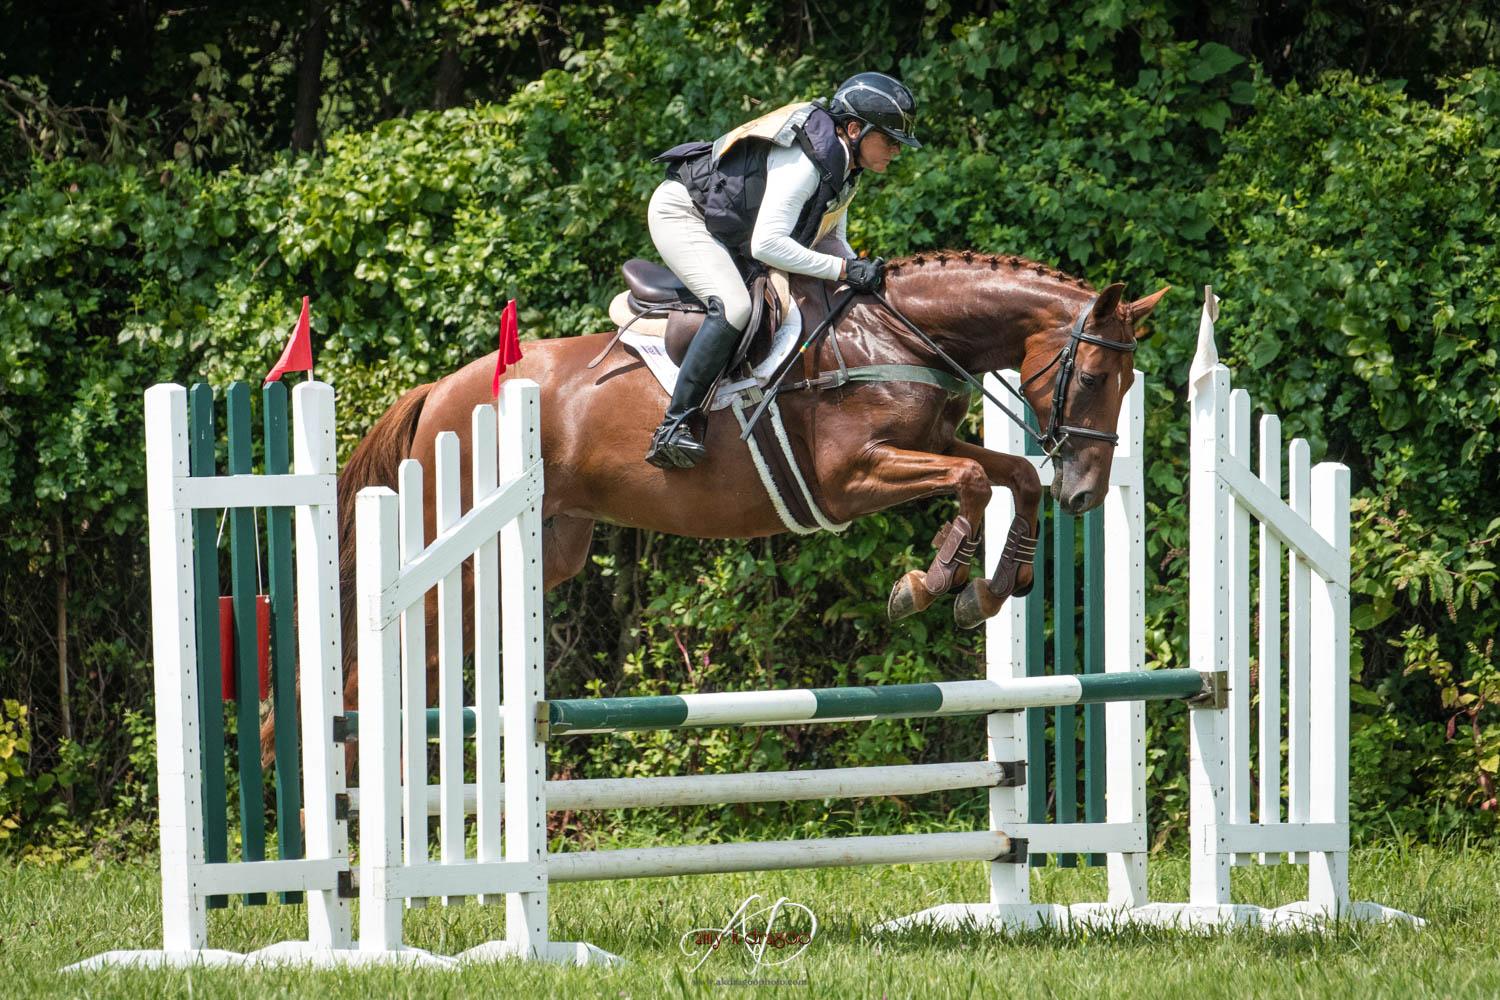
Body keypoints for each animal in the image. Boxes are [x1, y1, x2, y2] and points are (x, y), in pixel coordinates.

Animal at [264, 251, 1164, 758]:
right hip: (449, 545)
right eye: (1091, 376)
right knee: (363, 673)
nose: (1086, 490)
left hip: (537, 553)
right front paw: (929, 584)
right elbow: (976, 484)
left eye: (1125, 384)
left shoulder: (933, 446)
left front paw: (991, 588)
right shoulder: (851, 479)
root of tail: (440, 391)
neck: (896, 337)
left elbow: (1011, 475)